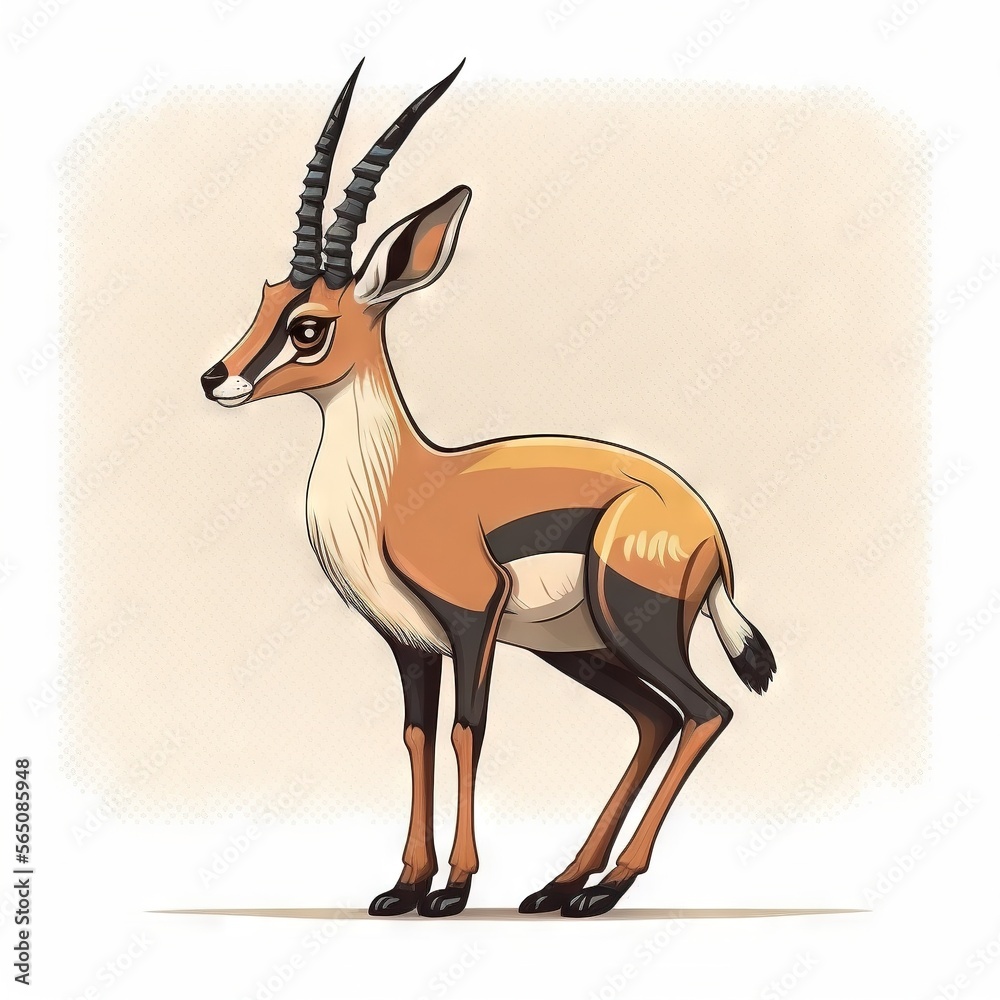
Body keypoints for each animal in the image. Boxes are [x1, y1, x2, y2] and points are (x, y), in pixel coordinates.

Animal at [201, 59, 777, 918]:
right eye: (267, 298)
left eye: (309, 326)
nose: (217, 379)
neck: (399, 488)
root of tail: (706, 524)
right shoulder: (410, 642)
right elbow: (416, 737)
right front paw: (405, 886)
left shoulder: (472, 620)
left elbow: (466, 730)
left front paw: (455, 888)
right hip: (580, 651)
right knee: (654, 719)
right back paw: (562, 885)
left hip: (629, 628)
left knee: (706, 712)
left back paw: (607, 888)